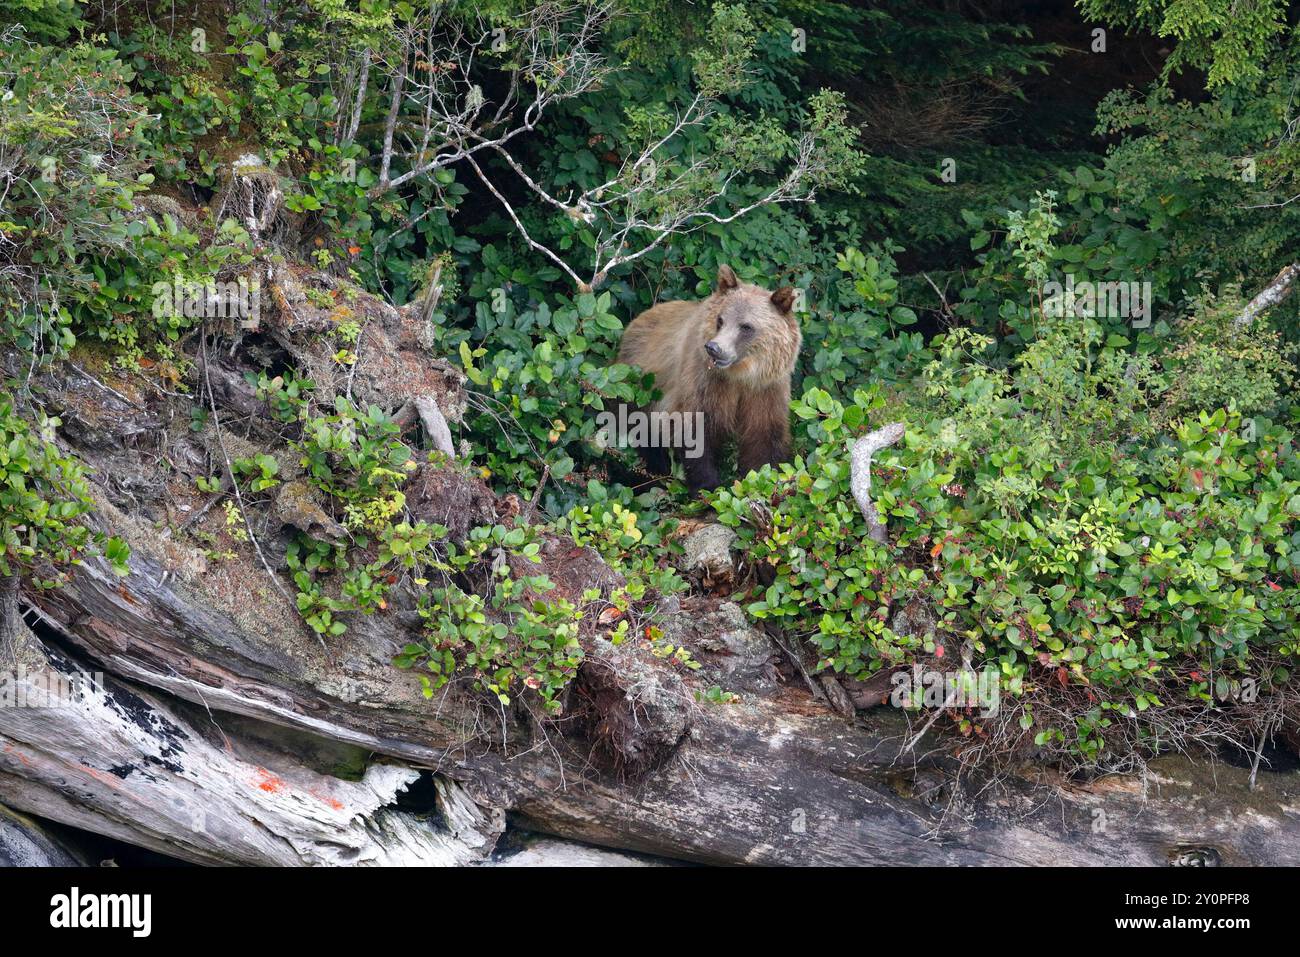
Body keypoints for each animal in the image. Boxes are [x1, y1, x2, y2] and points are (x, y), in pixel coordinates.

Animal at [615, 264, 801, 493]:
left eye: (746, 327)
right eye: (721, 320)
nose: (714, 348)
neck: (740, 375)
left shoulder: (766, 389)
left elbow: (764, 437)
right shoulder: (705, 381)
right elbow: (695, 430)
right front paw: (707, 488)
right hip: (636, 388)